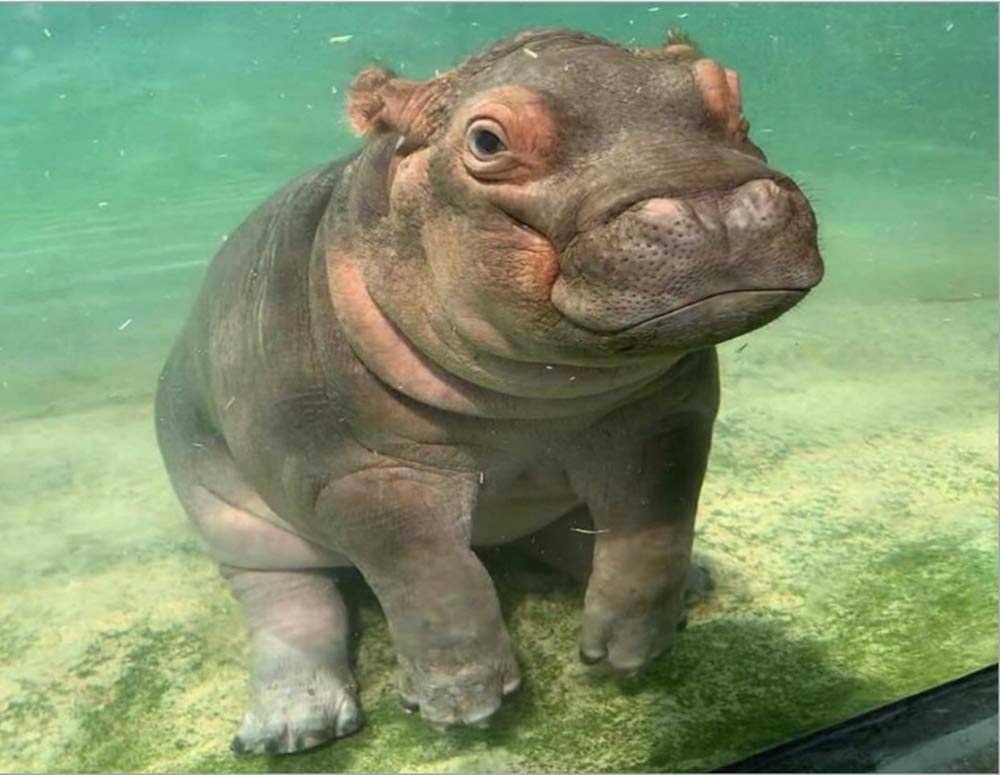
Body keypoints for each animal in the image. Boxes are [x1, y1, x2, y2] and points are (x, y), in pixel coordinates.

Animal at [155, 27, 823, 755]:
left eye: (729, 89)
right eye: (485, 141)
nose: (711, 208)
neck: (532, 402)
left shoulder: (666, 420)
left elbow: (652, 532)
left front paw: (628, 652)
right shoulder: (353, 473)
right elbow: (429, 572)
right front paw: (463, 706)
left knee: (571, 534)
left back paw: (692, 588)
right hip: (233, 517)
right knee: (290, 604)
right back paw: (292, 726)